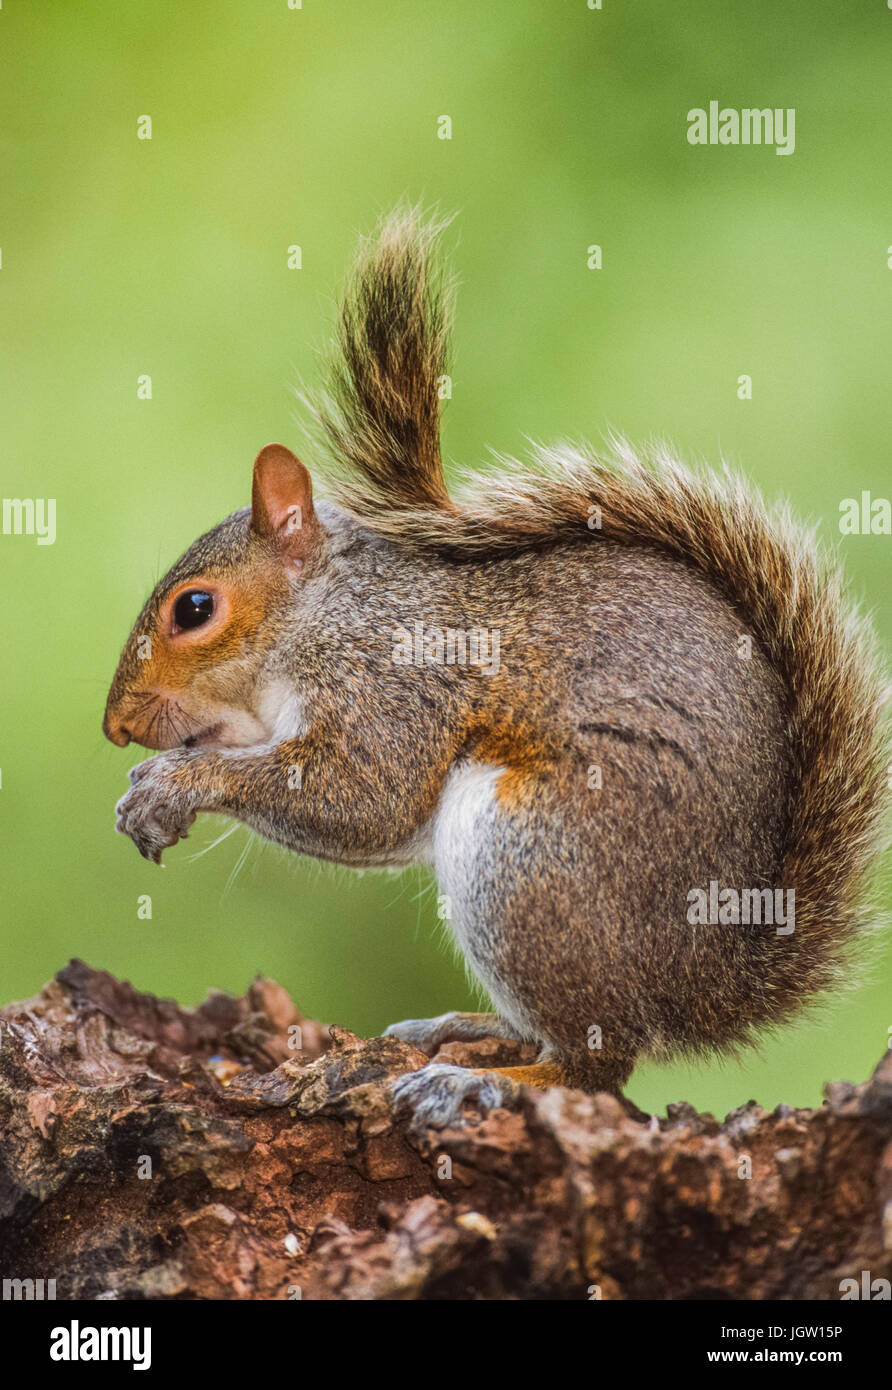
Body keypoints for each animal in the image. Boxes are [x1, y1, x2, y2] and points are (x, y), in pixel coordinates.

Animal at [104, 207, 889, 1127]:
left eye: (194, 609)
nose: (116, 726)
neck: (329, 614)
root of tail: (703, 987)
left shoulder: (389, 686)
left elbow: (364, 796)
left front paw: (173, 784)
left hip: (528, 860)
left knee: (596, 1065)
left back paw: (485, 1080)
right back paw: (470, 1030)